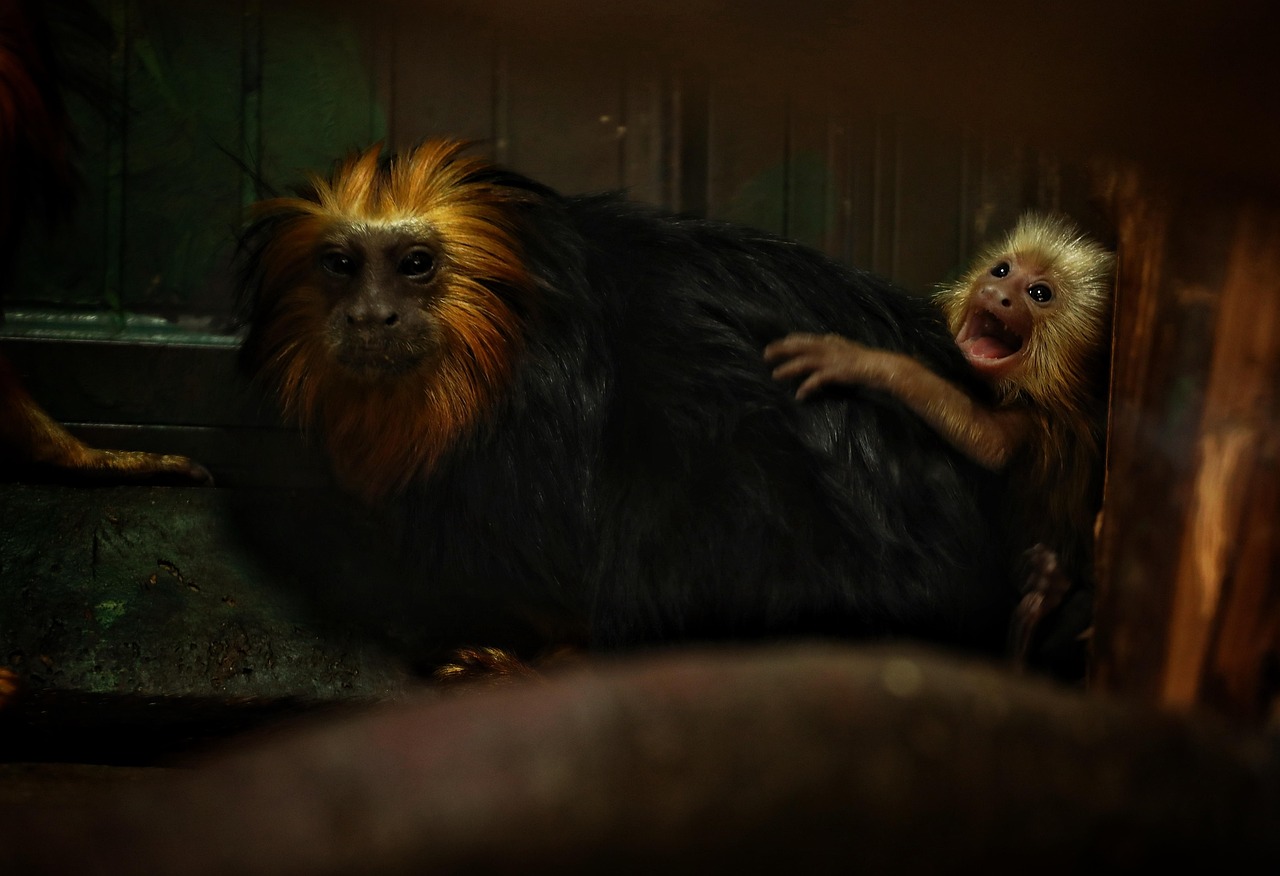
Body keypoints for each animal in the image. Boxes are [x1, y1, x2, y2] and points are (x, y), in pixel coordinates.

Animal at [764, 213, 1115, 677]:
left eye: (1039, 294)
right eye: (1001, 271)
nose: (996, 295)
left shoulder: (1034, 419)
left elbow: (989, 443)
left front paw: (867, 364)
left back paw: (1038, 608)